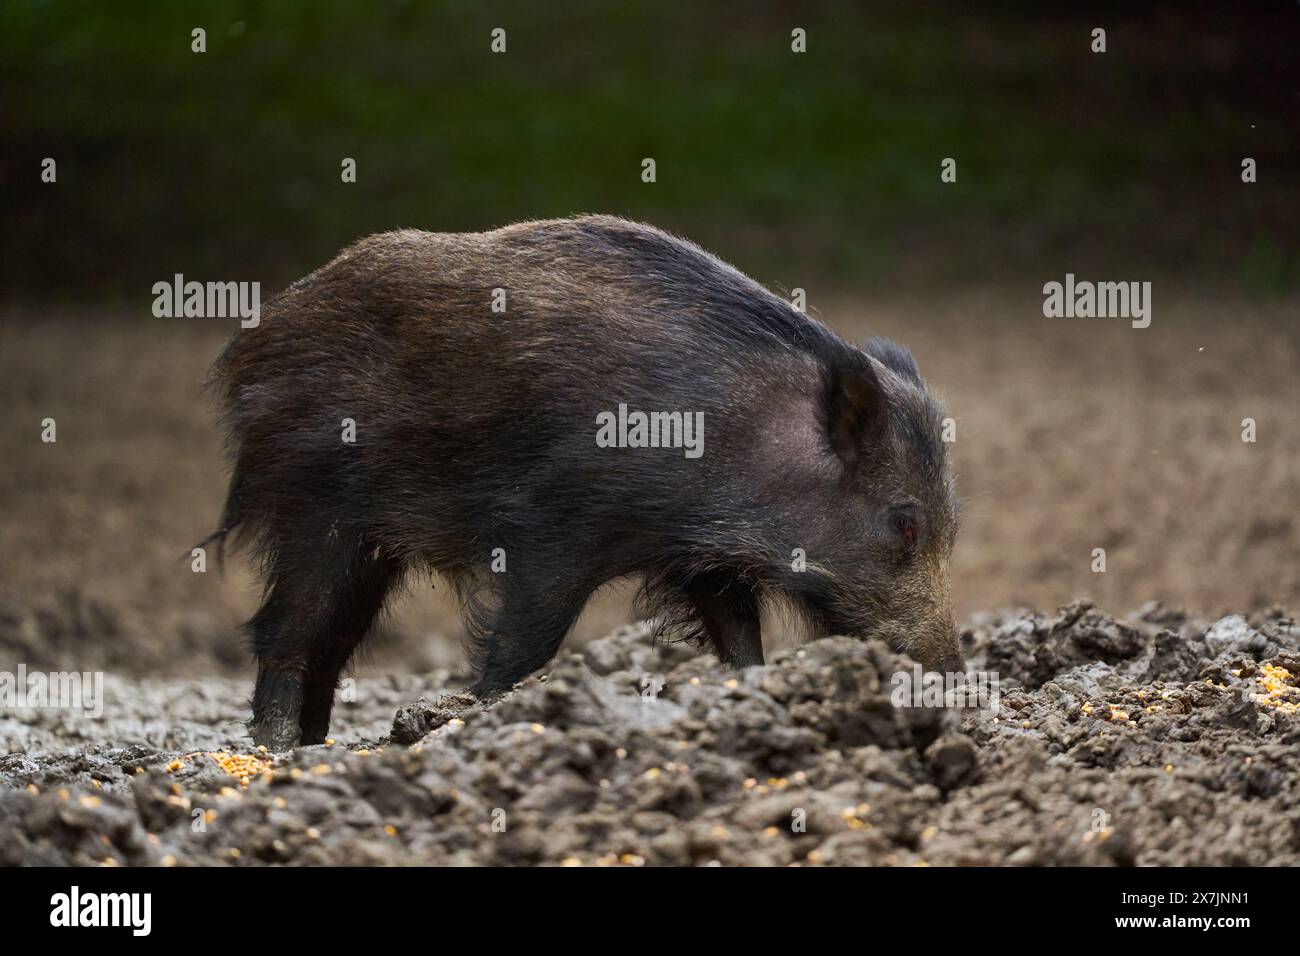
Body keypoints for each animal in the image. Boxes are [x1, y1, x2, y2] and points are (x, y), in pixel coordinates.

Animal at [205, 215, 961, 749]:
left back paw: (315, 746)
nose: (951, 675)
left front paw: (752, 692)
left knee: (332, 639)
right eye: (904, 522)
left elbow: (740, 633)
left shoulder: (700, 557)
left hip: (366, 545)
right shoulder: (553, 527)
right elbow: (527, 638)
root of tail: (254, 342)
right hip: (315, 504)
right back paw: (276, 751)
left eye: (950, 529)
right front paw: (487, 714)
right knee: (289, 629)